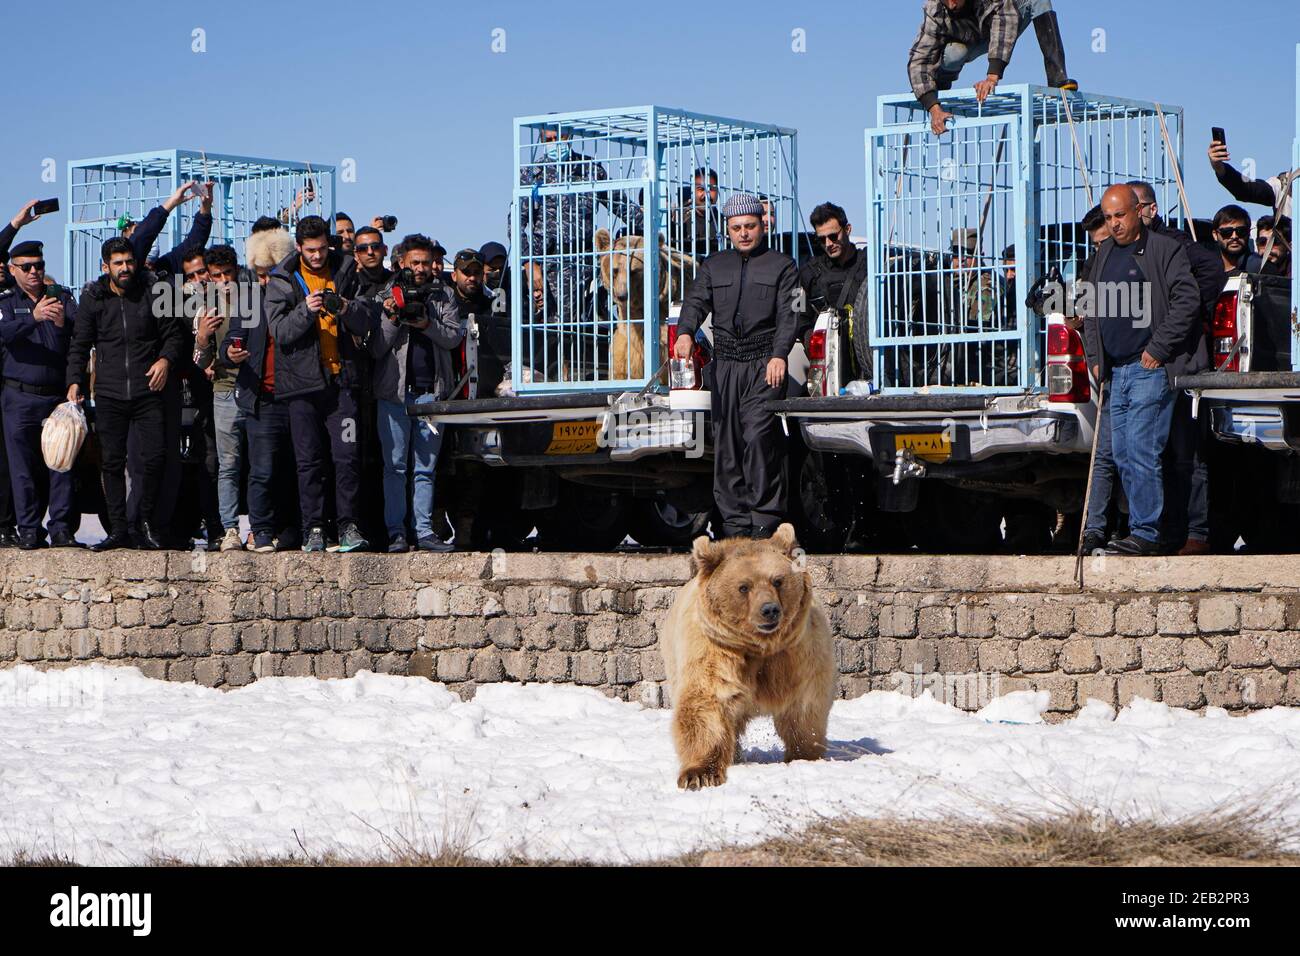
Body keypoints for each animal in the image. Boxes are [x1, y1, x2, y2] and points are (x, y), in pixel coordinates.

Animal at [658, 523, 835, 789]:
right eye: (744, 587)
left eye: (777, 580)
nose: (770, 610)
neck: (759, 646)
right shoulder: (715, 651)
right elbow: (707, 702)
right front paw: (699, 774)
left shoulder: (797, 653)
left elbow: (805, 705)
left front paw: (805, 754)